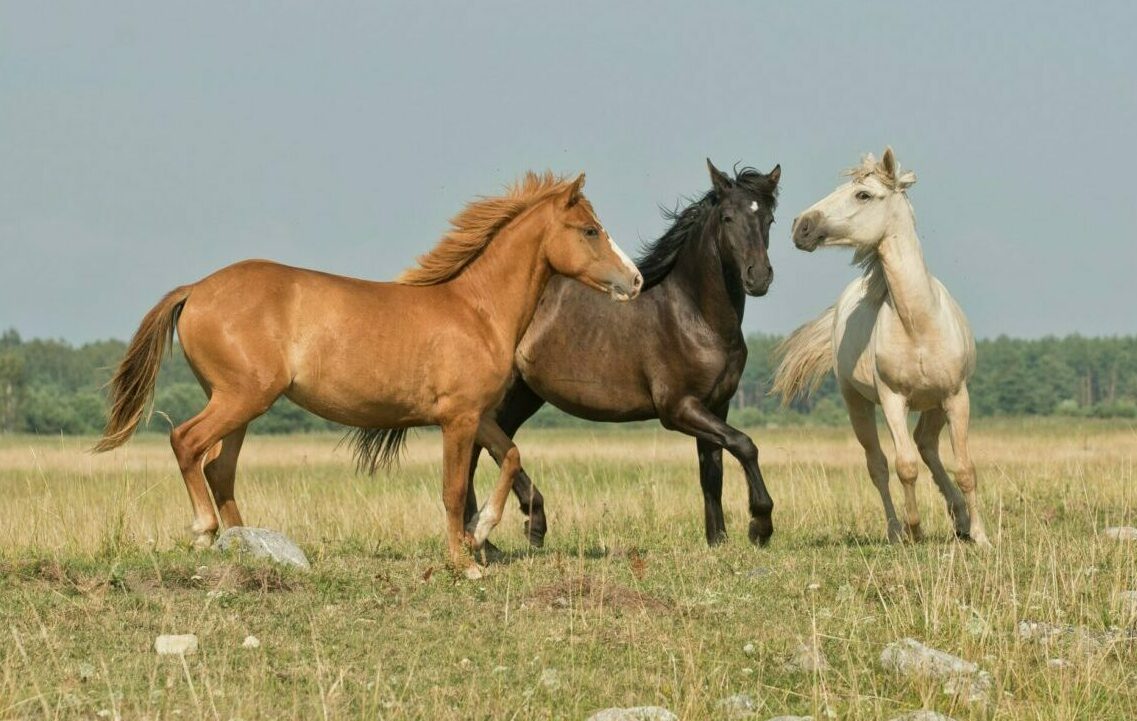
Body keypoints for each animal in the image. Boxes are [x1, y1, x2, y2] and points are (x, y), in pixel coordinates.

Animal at [94, 171, 643, 578]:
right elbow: (452, 489)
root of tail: (197, 289)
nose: (635, 280)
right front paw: (464, 561)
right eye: (590, 230)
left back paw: (247, 544)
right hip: (240, 398)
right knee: (186, 443)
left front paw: (482, 532)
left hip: (241, 405)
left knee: (219, 468)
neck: (477, 310)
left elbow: (510, 457)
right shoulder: (458, 419)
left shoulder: (477, 415)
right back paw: (206, 532)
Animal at [464, 160, 781, 548]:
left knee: (491, 444)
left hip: (524, 394)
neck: (695, 316)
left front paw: (717, 539)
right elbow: (744, 444)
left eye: (768, 218)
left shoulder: (716, 405)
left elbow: (712, 471)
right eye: (727, 218)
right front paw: (760, 525)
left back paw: (506, 531)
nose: (759, 277)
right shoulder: (678, 408)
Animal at [772, 147, 990, 546]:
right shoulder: (892, 400)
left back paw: (961, 520)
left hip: (935, 404)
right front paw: (915, 530)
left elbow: (966, 468)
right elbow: (904, 466)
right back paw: (896, 530)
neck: (919, 324)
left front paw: (981, 537)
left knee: (927, 445)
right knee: (879, 465)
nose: (801, 226)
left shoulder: (956, 396)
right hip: (857, 403)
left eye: (863, 194)